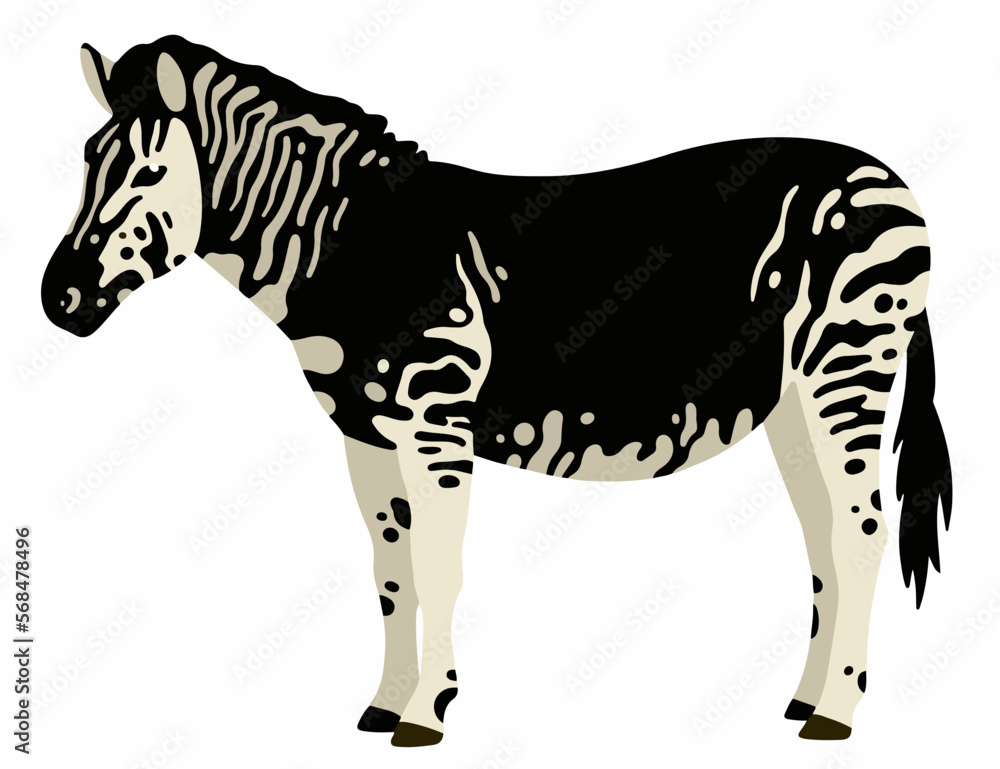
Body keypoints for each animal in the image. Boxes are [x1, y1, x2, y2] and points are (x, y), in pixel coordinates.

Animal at [41, 36, 952, 746]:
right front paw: (383, 705)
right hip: (796, 399)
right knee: (824, 539)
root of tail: (893, 178)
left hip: (847, 362)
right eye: (87, 163)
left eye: (147, 172)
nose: (57, 299)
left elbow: (438, 566)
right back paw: (803, 701)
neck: (356, 246)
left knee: (861, 529)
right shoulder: (366, 434)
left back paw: (836, 714)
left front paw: (426, 715)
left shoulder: (434, 417)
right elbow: (391, 572)